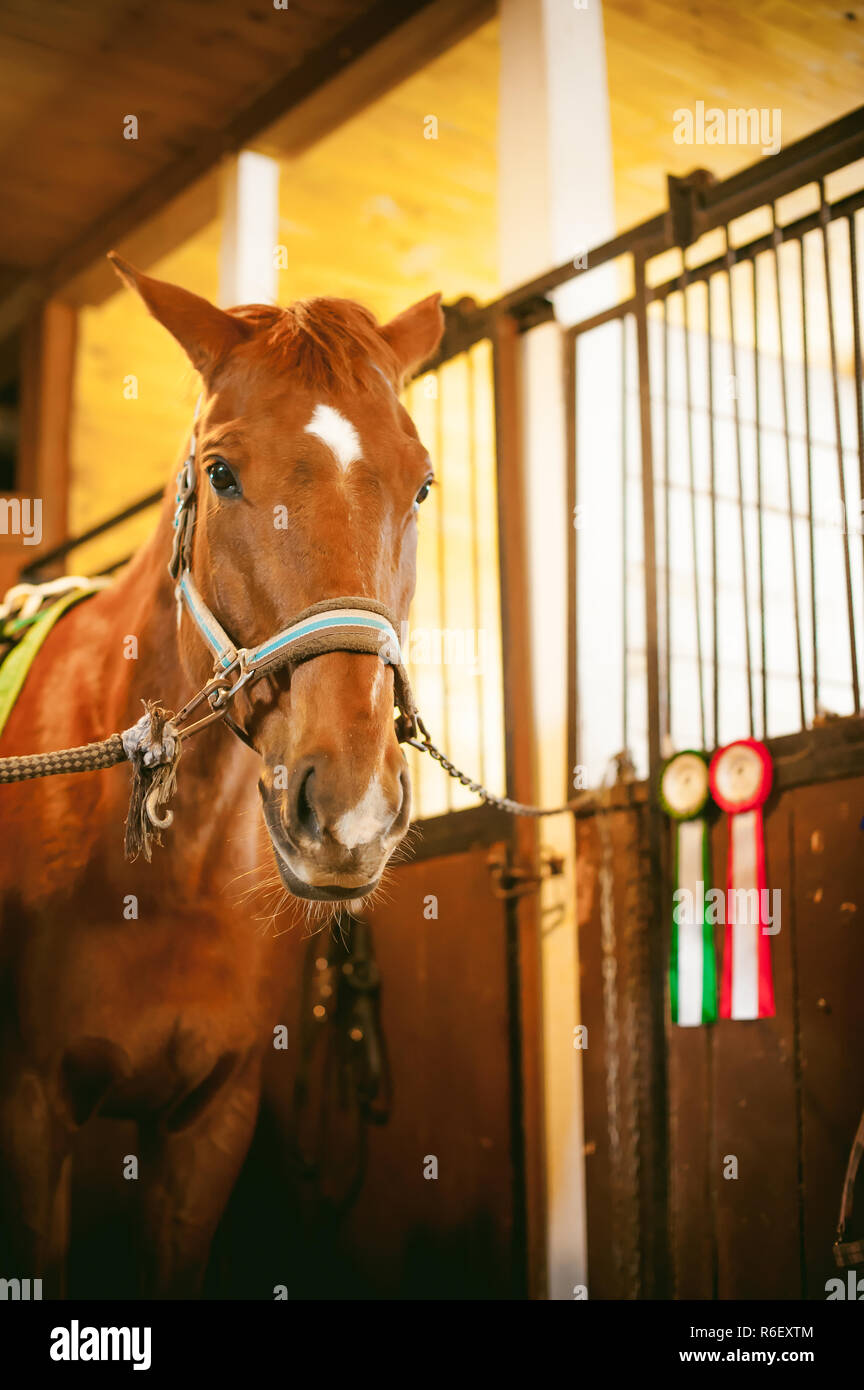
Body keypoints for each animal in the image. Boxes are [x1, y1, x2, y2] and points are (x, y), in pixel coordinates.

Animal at [0, 256, 444, 1297]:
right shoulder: (33, 1108)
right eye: (221, 473)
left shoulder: (211, 1122)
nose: (351, 809)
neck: (175, 871)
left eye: (421, 488)